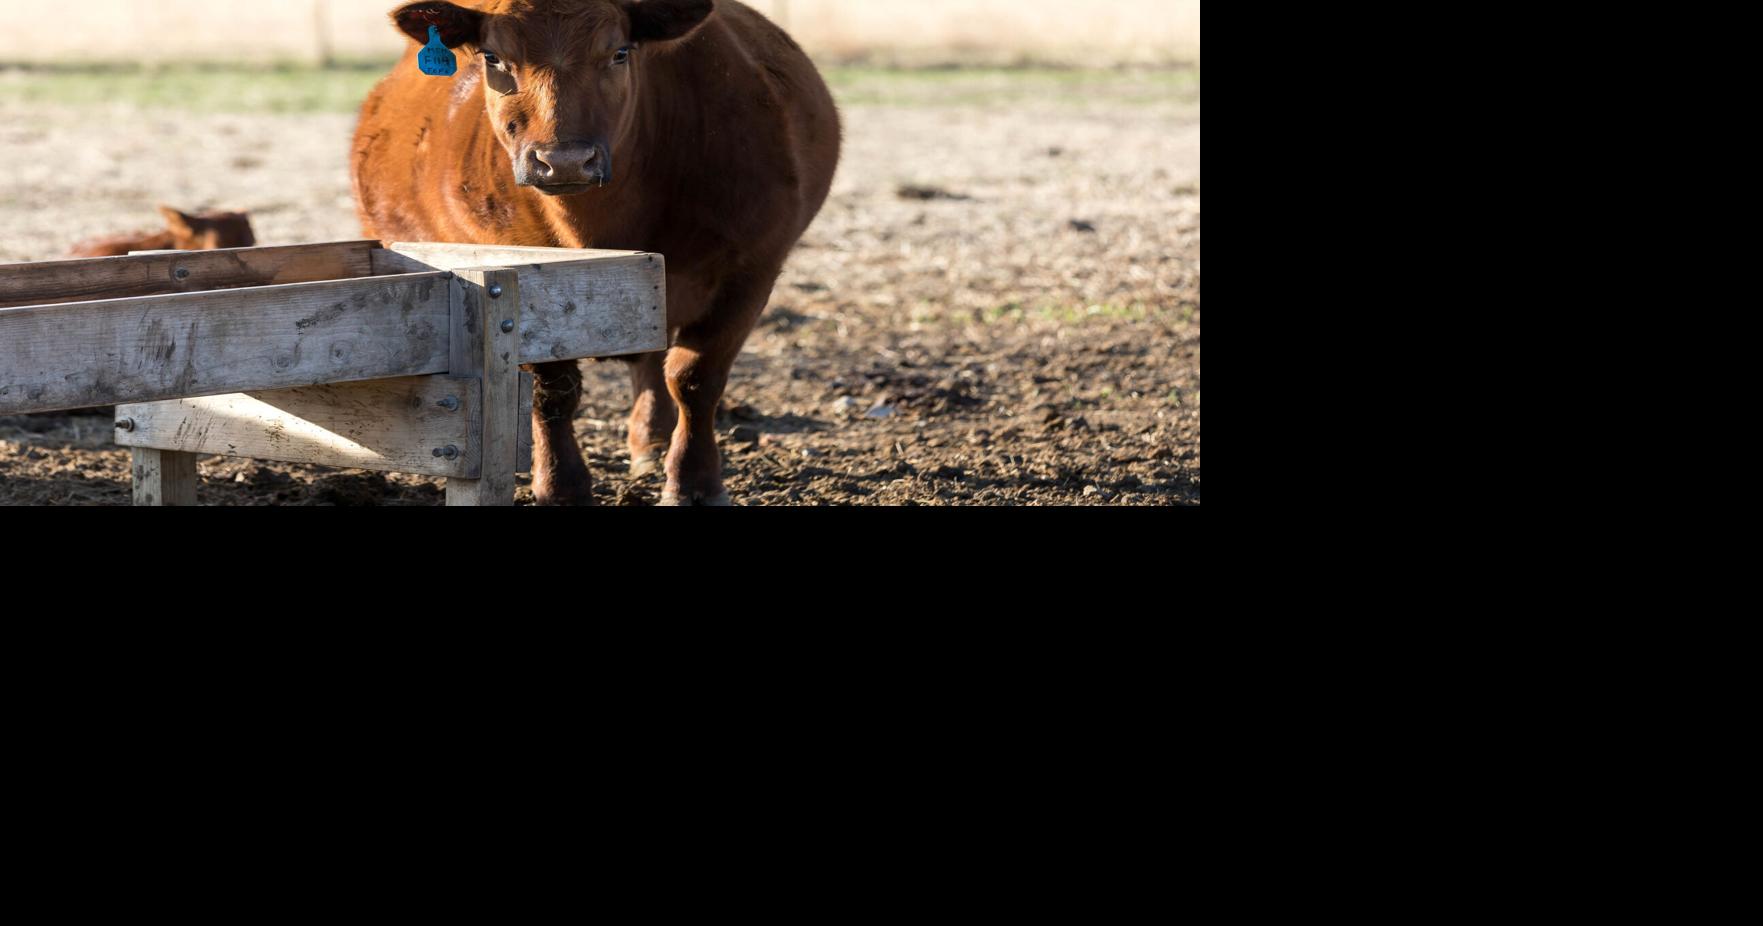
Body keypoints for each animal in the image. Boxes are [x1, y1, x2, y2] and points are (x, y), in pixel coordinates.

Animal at [352, 0, 841, 505]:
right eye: (492, 57)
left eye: (619, 52)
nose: (563, 161)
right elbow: (552, 391)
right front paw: (561, 485)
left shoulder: (750, 270)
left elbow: (694, 379)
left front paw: (694, 482)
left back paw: (653, 442)